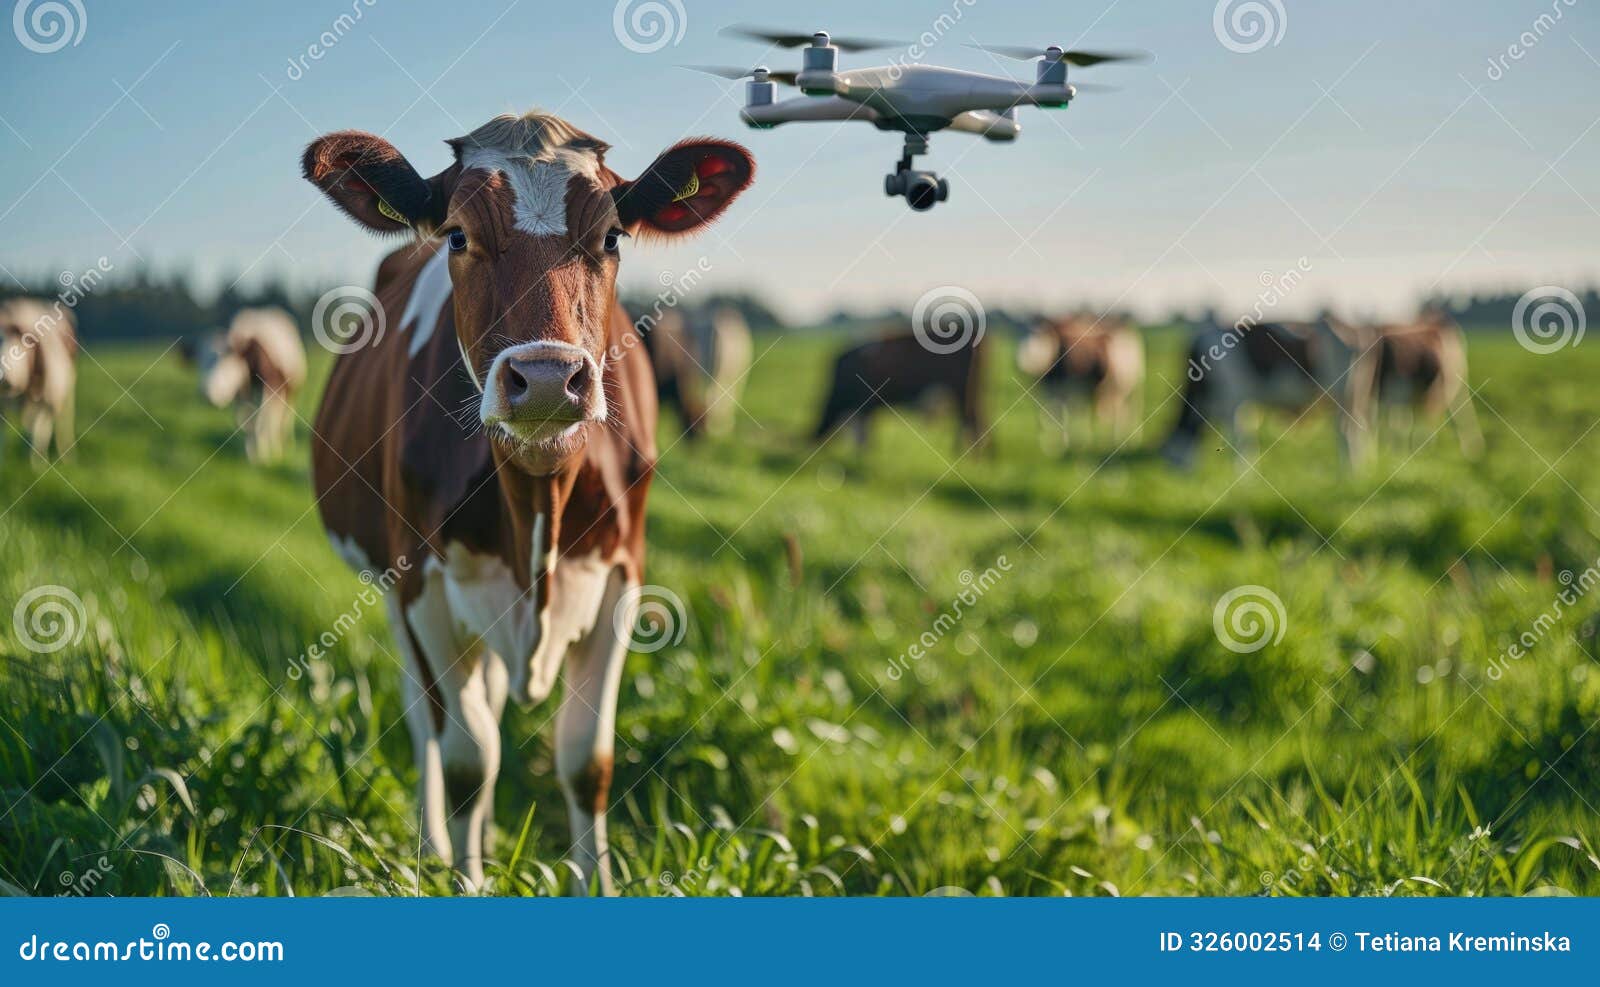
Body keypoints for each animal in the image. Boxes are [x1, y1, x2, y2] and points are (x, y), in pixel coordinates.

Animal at [0, 297, 77, 465]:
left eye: (16, 345)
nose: (5, 377)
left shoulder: (48, 397)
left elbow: (39, 430)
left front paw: (37, 464)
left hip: (66, 388)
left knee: (59, 423)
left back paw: (66, 456)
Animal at [182, 307, 307, 464]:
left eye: (226, 360)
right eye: (198, 361)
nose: (207, 393)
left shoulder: (267, 389)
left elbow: (260, 421)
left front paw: (263, 456)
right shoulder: (239, 396)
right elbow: (244, 421)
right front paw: (251, 455)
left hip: (290, 389)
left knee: (281, 420)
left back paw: (279, 448)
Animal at [300, 110, 752, 893]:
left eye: (612, 236)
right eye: (457, 235)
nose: (545, 378)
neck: (538, 502)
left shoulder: (621, 576)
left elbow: (584, 760)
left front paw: (592, 881)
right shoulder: (421, 584)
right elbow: (466, 761)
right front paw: (465, 879)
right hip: (391, 585)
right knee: (429, 720)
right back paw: (433, 847)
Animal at [1016, 312, 1144, 449]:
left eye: (1038, 339)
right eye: (1019, 336)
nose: (1020, 363)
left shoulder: (1070, 390)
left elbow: (1067, 415)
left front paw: (1069, 444)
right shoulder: (1049, 391)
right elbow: (1045, 417)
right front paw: (1050, 444)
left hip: (1126, 386)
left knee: (1124, 413)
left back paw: (1122, 440)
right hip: (1116, 389)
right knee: (1121, 413)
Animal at [1163, 317, 1378, 469]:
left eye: (1171, 459)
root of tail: (1352, 330)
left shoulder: (1234, 400)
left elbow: (1238, 438)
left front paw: (1241, 477)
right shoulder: (1245, 404)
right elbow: (1247, 436)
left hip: (1344, 392)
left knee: (1346, 429)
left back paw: (1349, 472)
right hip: (1357, 393)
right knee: (1361, 426)